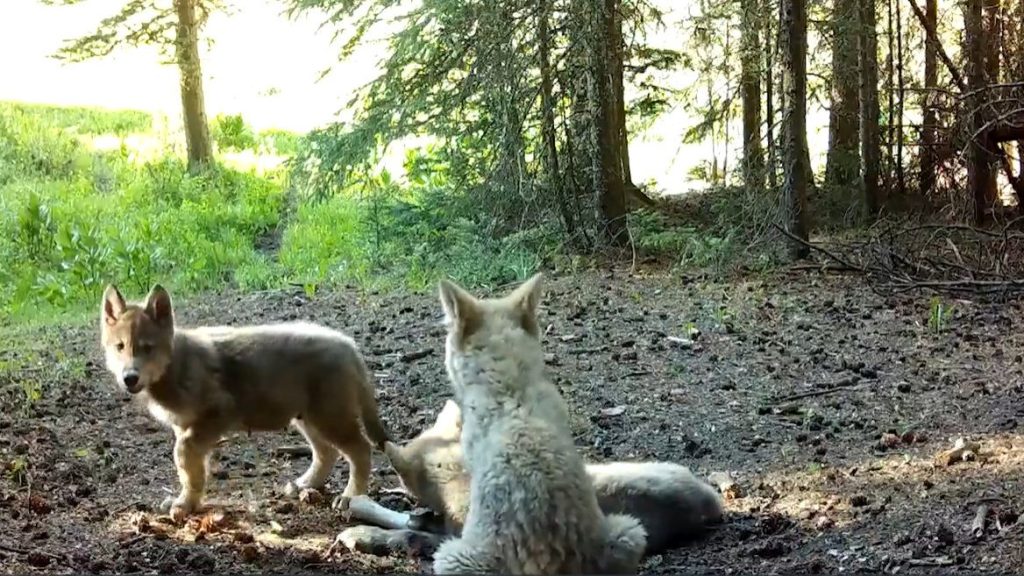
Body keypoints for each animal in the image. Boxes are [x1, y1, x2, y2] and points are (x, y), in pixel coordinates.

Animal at [98, 284, 390, 521]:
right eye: (120, 347)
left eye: (147, 348)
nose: (129, 378)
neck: (175, 364)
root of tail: (348, 345)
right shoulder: (185, 426)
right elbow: (190, 469)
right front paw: (186, 500)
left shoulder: (216, 415)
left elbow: (185, 459)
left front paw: (185, 504)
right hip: (308, 418)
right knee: (326, 453)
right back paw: (305, 485)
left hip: (329, 417)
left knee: (361, 450)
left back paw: (351, 497)